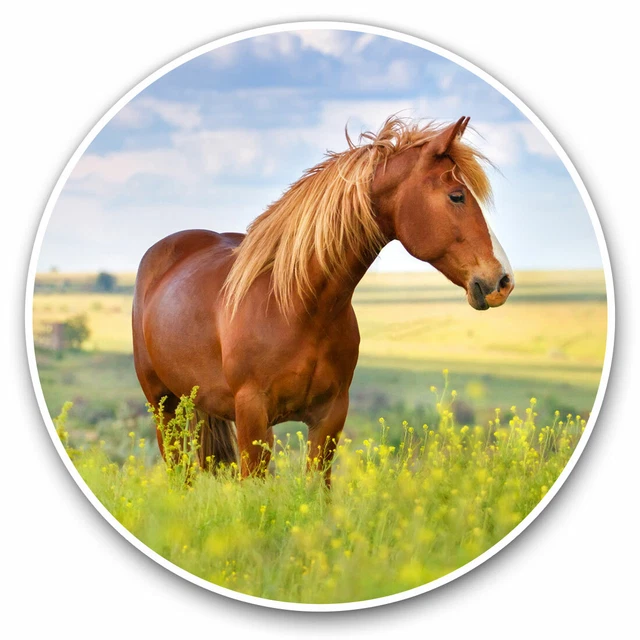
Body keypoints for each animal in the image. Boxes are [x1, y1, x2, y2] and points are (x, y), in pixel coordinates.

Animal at [132, 115, 514, 485]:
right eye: (457, 196)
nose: (503, 280)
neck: (297, 307)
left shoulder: (329, 417)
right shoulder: (252, 416)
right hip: (163, 407)